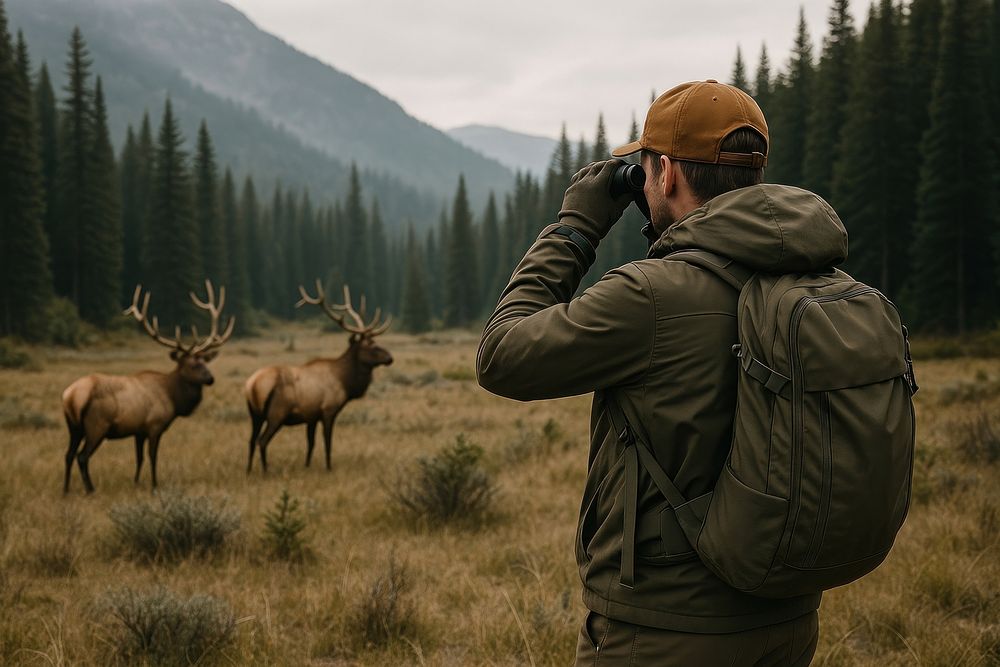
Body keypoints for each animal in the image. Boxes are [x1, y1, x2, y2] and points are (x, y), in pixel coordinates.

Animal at [61, 281, 234, 494]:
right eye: (192, 365)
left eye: (204, 362)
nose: (210, 378)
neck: (173, 398)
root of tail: (71, 396)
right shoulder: (155, 425)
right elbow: (152, 456)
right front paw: (154, 484)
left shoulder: (139, 430)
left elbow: (139, 458)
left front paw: (136, 482)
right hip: (97, 425)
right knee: (82, 456)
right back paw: (90, 489)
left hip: (74, 427)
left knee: (68, 454)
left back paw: (66, 490)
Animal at [243, 282, 392, 474]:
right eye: (371, 347)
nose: (390, 358)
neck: (345, 383)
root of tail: (252, 385)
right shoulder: (328, 410)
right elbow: (327, 442)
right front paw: (329, 467)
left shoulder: (311, 415)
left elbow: (311, 443)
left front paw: (307, 466)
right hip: (277, 413)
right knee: (262, 441)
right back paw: (265, 471)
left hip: (255, 414)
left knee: (251, 440)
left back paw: (248, 470)